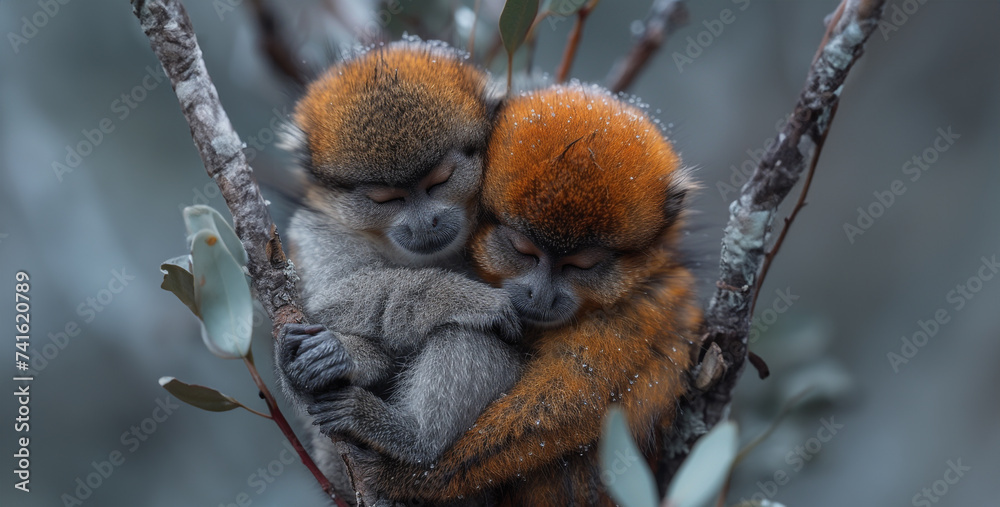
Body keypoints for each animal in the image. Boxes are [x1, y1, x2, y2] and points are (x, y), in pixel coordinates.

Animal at [275, 40, 525, 473]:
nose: (426, 222)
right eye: (386, 199)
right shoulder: (315, 227)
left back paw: (412, 438)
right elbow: (328, 303)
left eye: (439, 182)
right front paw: (458, 297)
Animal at [353, 83, 701, 506]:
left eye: (579, 266)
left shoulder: (642, 305)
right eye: (524, 251)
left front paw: (411, 477)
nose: (540, 293)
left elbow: (572, 405)